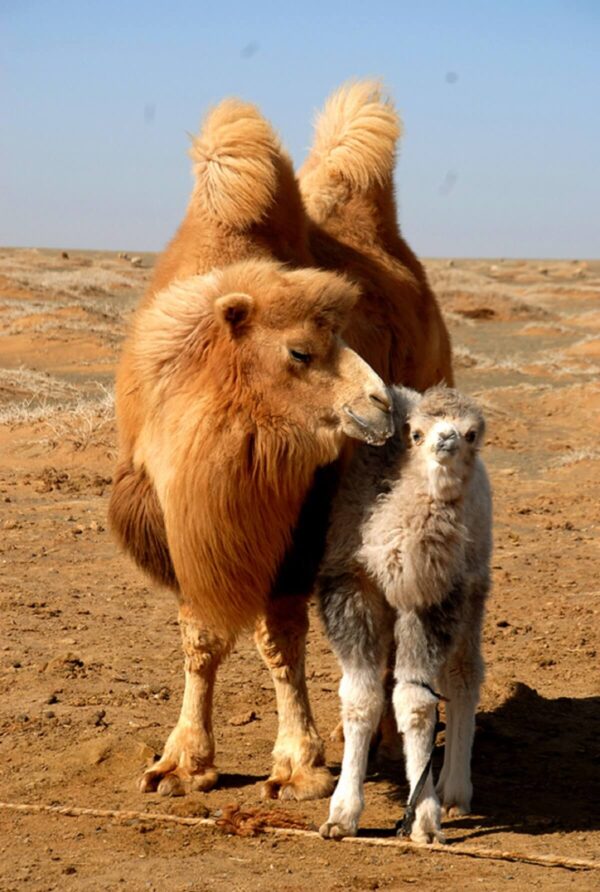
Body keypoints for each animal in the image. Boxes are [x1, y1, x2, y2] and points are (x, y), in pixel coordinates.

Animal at [109, 81, 454, 801]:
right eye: (300, 351)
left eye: (346, 331)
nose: (383, 404)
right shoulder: (187, 521)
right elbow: (200, 636)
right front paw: (183, 762)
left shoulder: (299, 524)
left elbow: (279, 638)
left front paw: (299, 765)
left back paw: (386, 738)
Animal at [317, 386, 492, 843]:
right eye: (415, 433)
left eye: (472, 433)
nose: (445, 440)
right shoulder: (350, 586)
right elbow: (360, 697)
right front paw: (341, 814)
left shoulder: (433, 600)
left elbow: (416, 703)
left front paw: (426, 819)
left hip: (473, 586)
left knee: (463, 676)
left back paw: (455, 791)